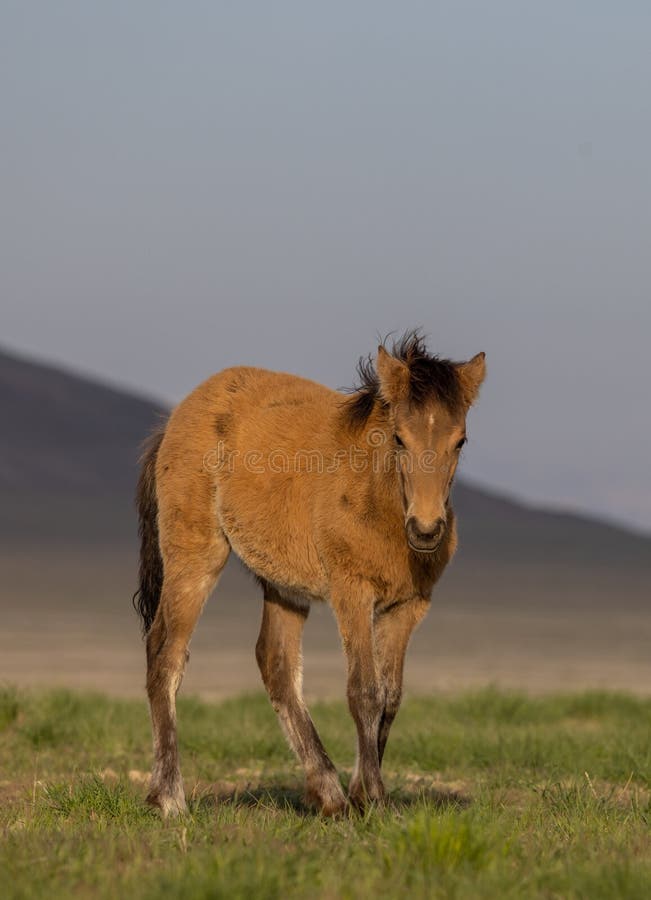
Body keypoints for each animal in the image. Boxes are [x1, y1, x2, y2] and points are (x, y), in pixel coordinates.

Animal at [133, 331, 486, 817]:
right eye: (399, 438)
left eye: (461, 441)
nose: (427, 530)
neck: (378, 498)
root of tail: (173, 421)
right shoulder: (351, 593)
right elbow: (364, 692)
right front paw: (375, 800)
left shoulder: (408, 607)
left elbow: (391, 697)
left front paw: (360, 793)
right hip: (195, 556)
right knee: (166, 655)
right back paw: (168, 797)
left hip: (284, 585)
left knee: (276, 663)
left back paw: (328, 794)